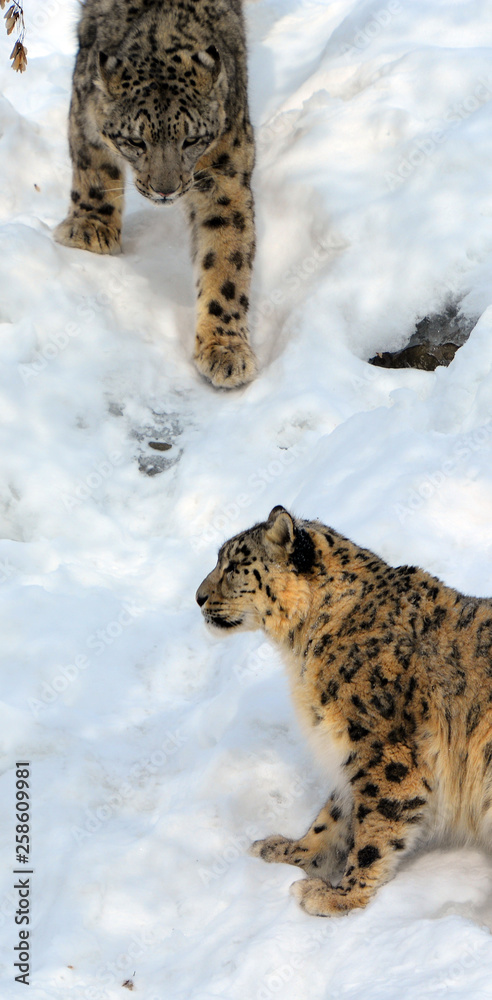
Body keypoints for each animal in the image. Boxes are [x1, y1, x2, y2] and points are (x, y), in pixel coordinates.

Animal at [55, 0, 256, 389]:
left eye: (191, 140)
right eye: (135, 140)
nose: (166, 189)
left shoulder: (225, 175)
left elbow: (226, 258)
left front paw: (226, 349)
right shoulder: (84, 109)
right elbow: (93, 167)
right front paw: (90, 227)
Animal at [196, 505, 492, 917]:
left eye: (234, 565)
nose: (198, 598)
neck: (303, 652)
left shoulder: (384, 751)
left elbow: (374, 830)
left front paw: (340, 896)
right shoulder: (348, 752)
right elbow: (335, 814)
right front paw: (290, 851)